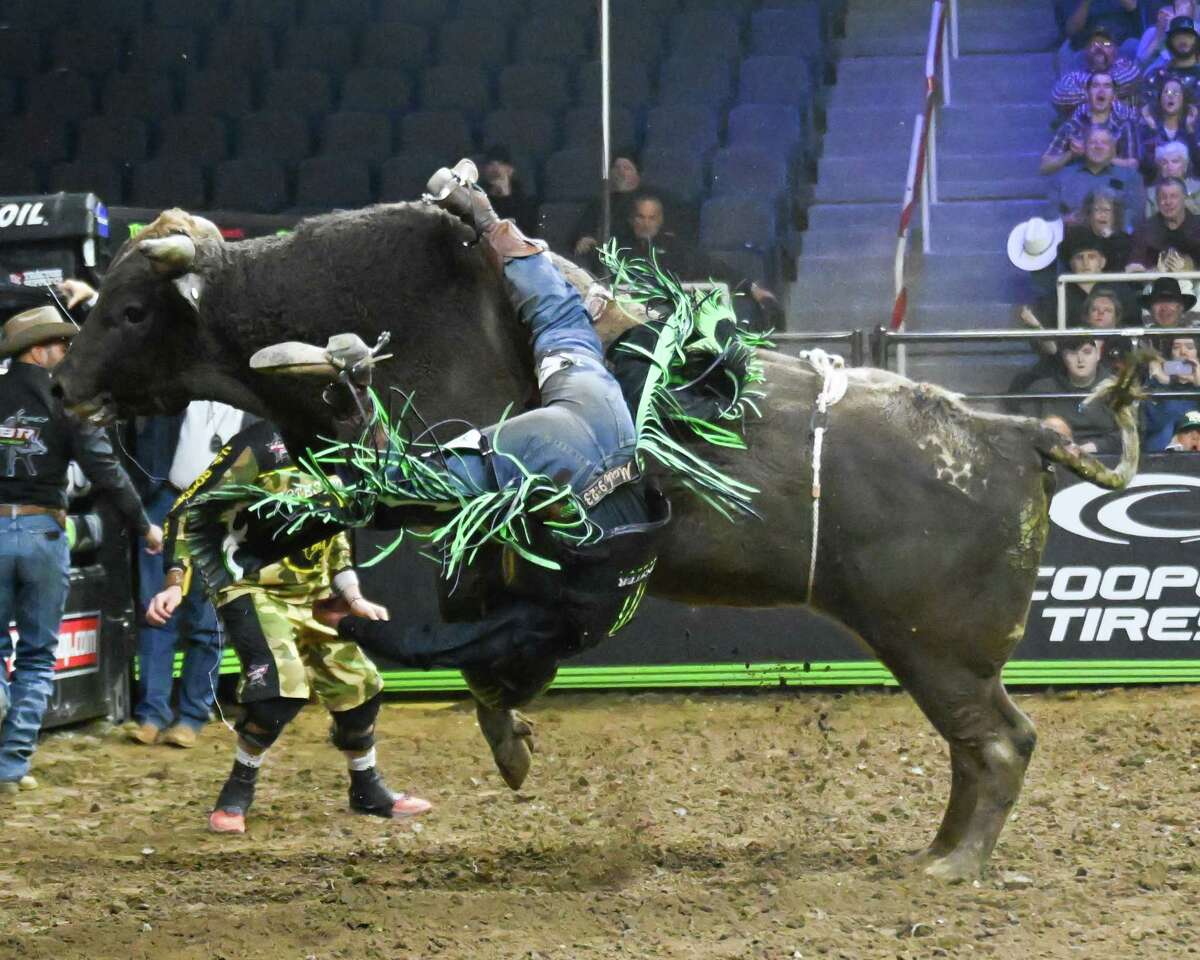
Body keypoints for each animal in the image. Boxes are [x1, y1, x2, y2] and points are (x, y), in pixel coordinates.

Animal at [54, 206, 1140, 881]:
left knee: (995, 742)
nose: (63, 387)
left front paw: (508, 724)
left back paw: (954, 861)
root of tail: (1018, 438)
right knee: (985, 745)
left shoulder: (452, 486)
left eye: (134, 309)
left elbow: (470, 609)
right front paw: (510, 718)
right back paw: (943, 850)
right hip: (935, 647)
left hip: (934, 643)